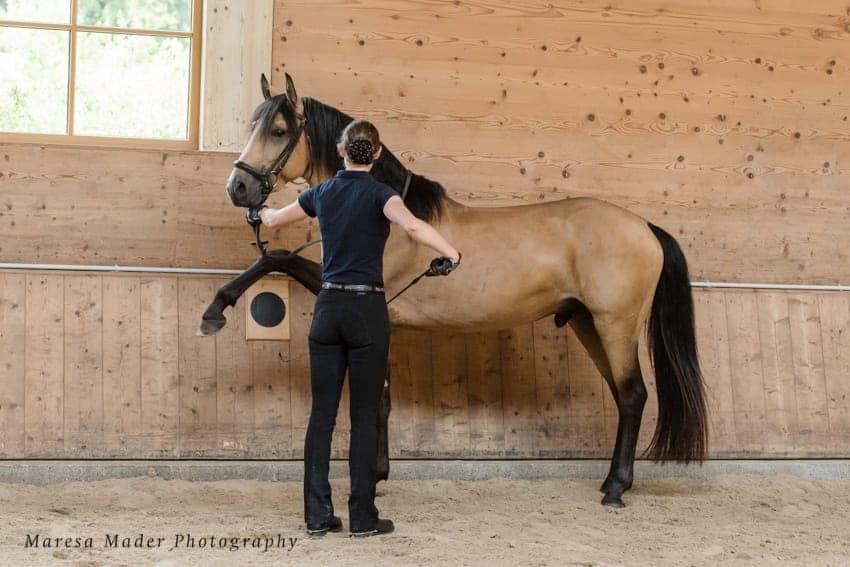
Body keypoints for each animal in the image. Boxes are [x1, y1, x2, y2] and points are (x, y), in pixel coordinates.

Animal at [200, 73, 708, 508]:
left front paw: (215, 310)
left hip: (615, 326)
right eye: (253, 125)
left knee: (634, 395)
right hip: (587, 323)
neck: (383, 213)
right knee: (624, 397)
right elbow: (279, 261)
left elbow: (278, 262)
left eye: (279, 130)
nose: (238, 187)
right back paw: (610, 482)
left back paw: (616, 489)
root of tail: (644, 226)